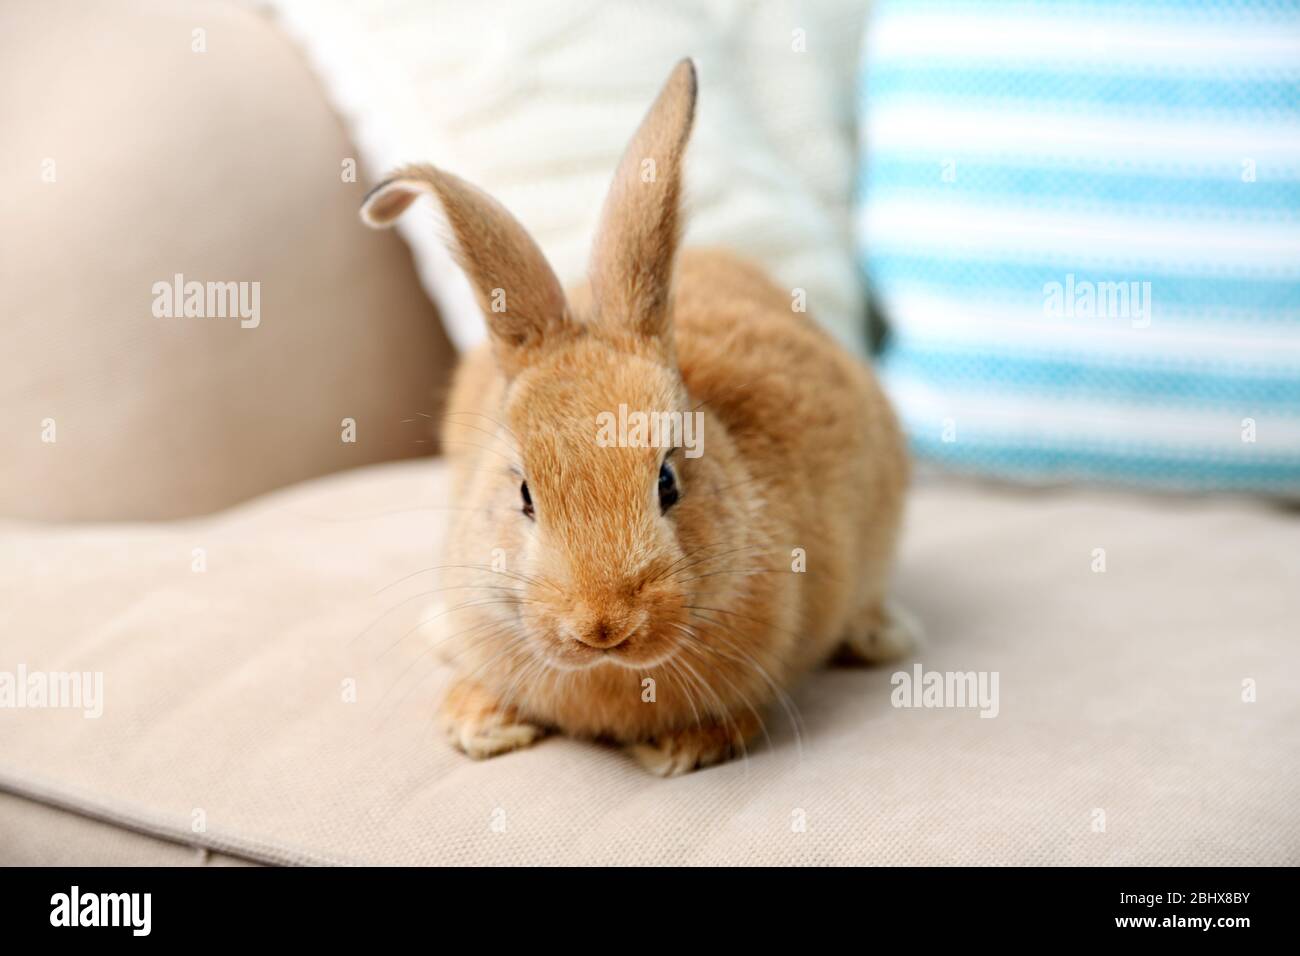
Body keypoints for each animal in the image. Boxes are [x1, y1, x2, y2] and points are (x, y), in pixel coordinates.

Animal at [360, 59, 912, 776]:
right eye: (524, 494)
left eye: (668, 483)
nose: (603, 625)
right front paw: (478, 723)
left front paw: (678, 748)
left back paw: (884, 635)